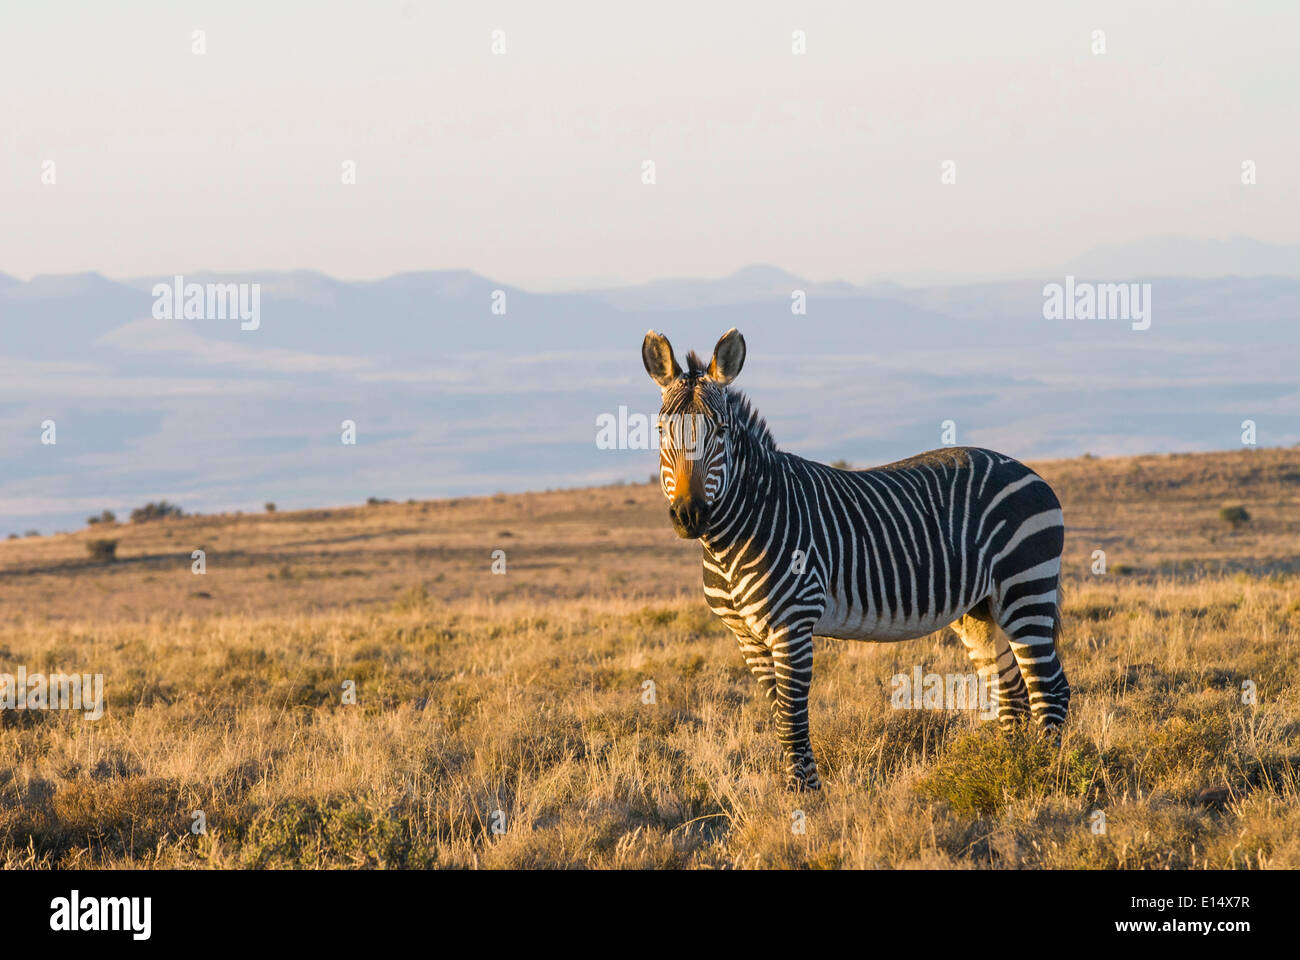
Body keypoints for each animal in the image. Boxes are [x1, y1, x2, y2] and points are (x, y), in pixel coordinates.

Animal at [642, 327, 1070, 791]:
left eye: (720, 430)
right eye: (662, 430)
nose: (690, 515)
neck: (740, 530)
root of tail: (1029, 471)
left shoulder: (793, 625)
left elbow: (792, 719)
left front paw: (804, 796)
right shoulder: (748, 638)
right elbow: (779, 716)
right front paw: (798, 789)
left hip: (1025, 590)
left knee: (1050, 689)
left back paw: (1041, 773)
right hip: (980, 609)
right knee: (1012, 692)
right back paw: (1006, 769)